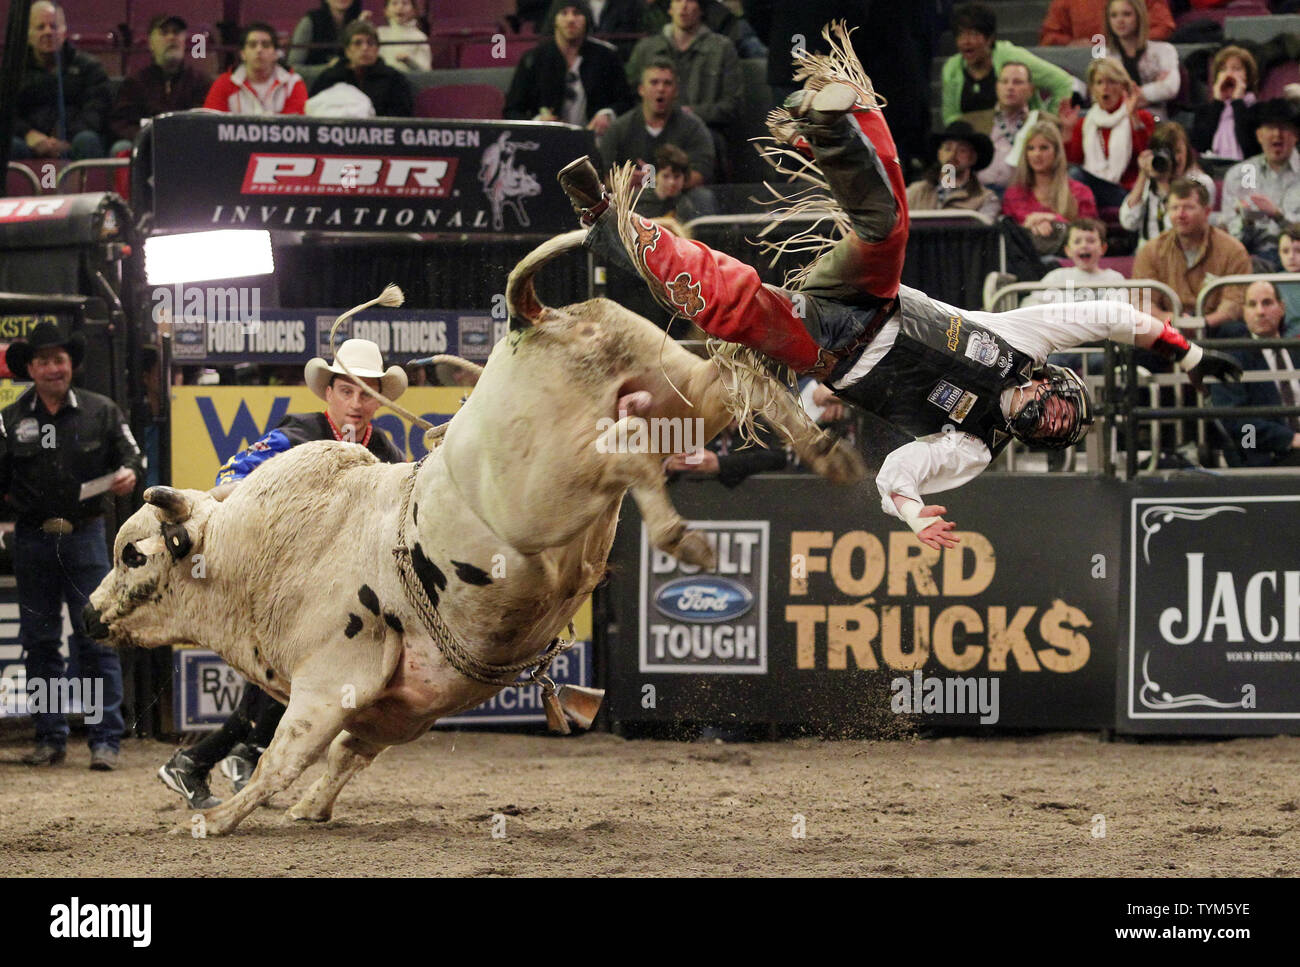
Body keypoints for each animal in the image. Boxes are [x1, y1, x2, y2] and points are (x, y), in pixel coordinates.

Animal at [86, 230, 865, 835]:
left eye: (133, 553)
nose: (93, 611)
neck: (264, 552)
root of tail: (530, 319)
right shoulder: (397, 708)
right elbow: (344, 754)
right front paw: (307, 808)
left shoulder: (330, 679)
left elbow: (286, 755)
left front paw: (217, 818)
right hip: (677, 394)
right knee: (738, 384)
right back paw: (827, 454)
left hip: (550, 484)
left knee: (627, 451)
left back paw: (689, 536)